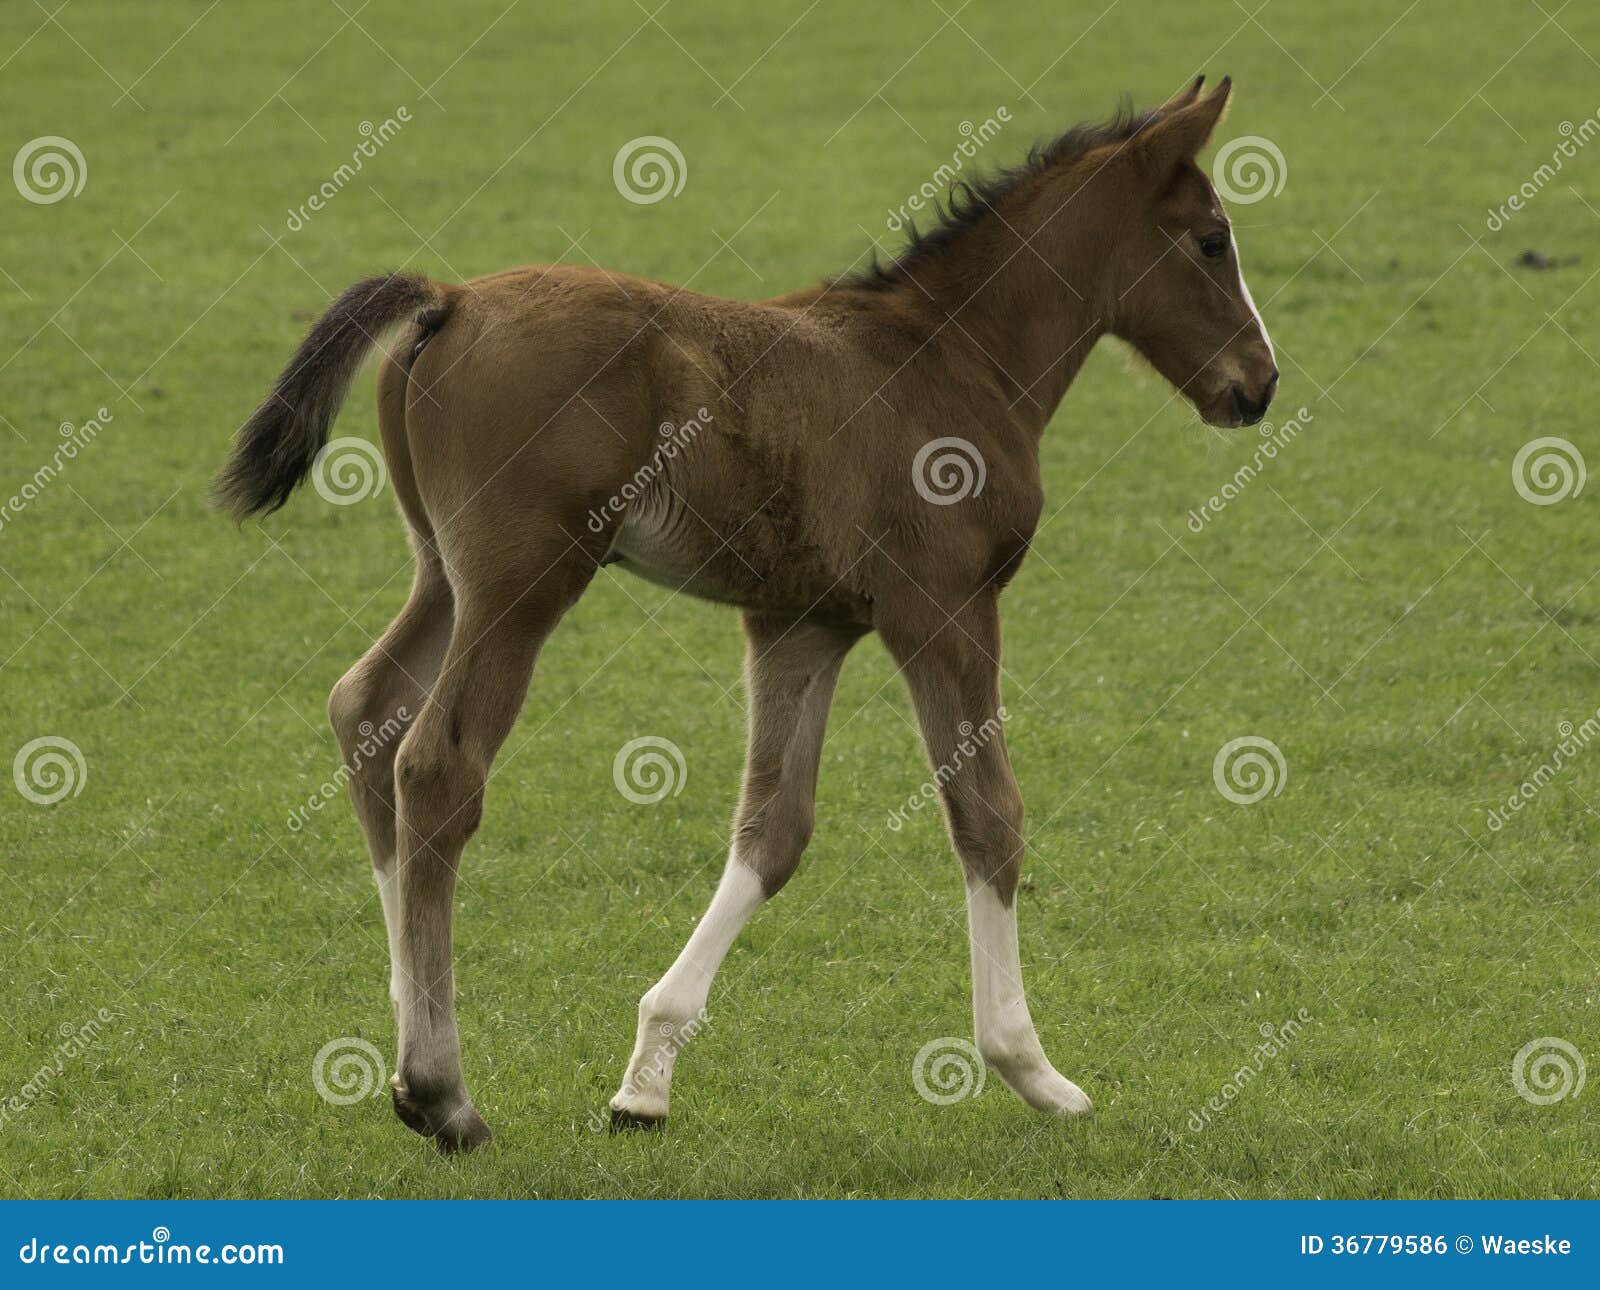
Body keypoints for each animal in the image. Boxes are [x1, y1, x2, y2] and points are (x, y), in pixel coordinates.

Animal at [215, 76, 1276, 1152]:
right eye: (1209, 241)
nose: (1259, 384)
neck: (950, 355)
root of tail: (453, 300)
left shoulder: (802, 624)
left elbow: (775, 830)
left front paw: (645, 1078)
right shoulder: (943, 607)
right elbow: (988, 816)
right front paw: (1032, 1069)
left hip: (445, 573)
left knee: (366, 708)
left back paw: (403, 1050)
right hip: (523, 582)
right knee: (436, 766)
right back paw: (444, 1092)